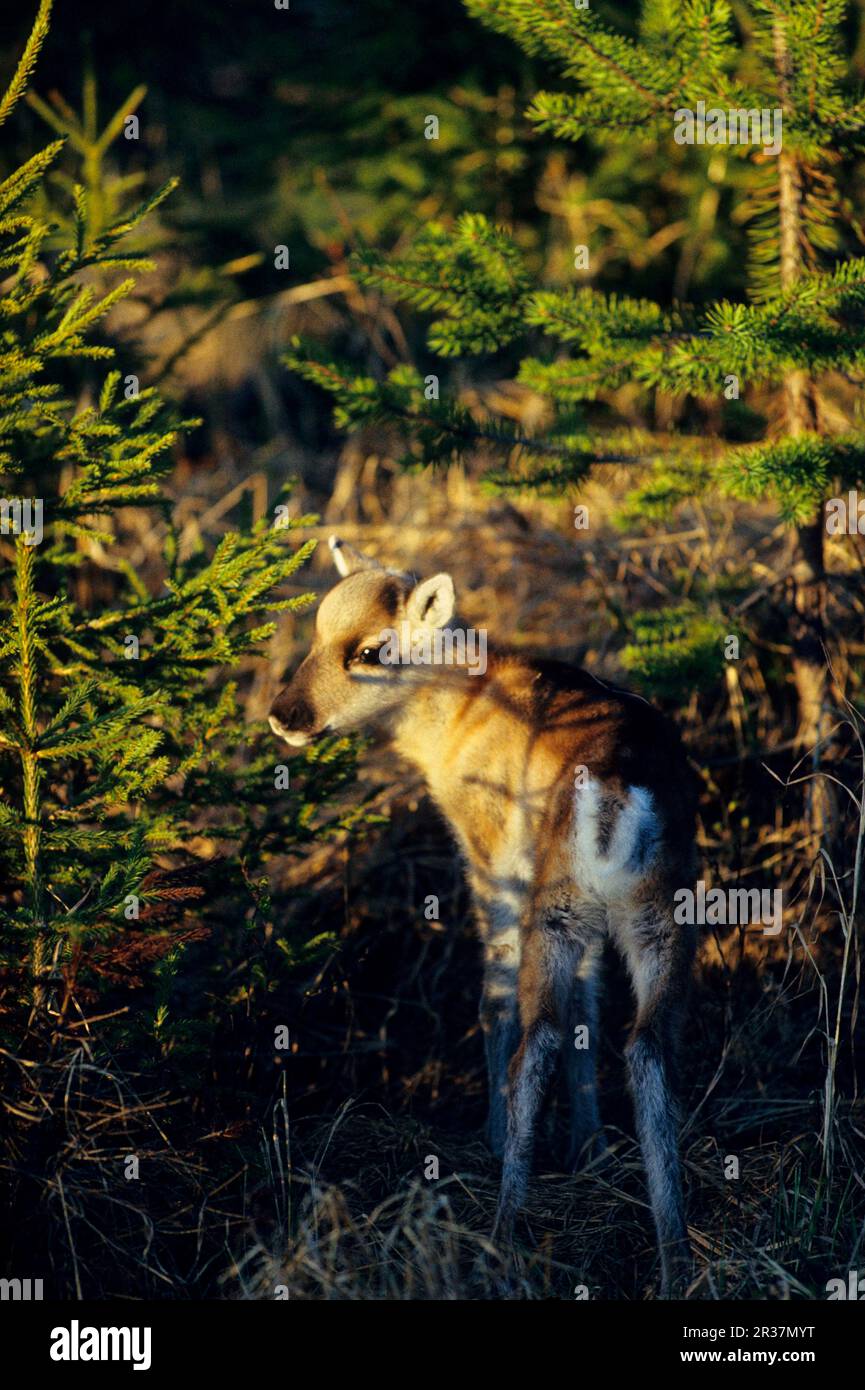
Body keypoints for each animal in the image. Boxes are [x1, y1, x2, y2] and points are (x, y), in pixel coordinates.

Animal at [269, 535, 698, 1296]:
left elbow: (492, 998)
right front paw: (588, 1146)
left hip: (554, 905)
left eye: (371, 649)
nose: (283, 714)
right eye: (315, 630)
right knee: (646, 1043)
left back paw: (502, 1230)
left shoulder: (490, 854)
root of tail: (619, 793)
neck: (454, 719)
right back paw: (674, 1254)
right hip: (652, 913)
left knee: (538, 1034)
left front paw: (498, 1137)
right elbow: (589, 1005)